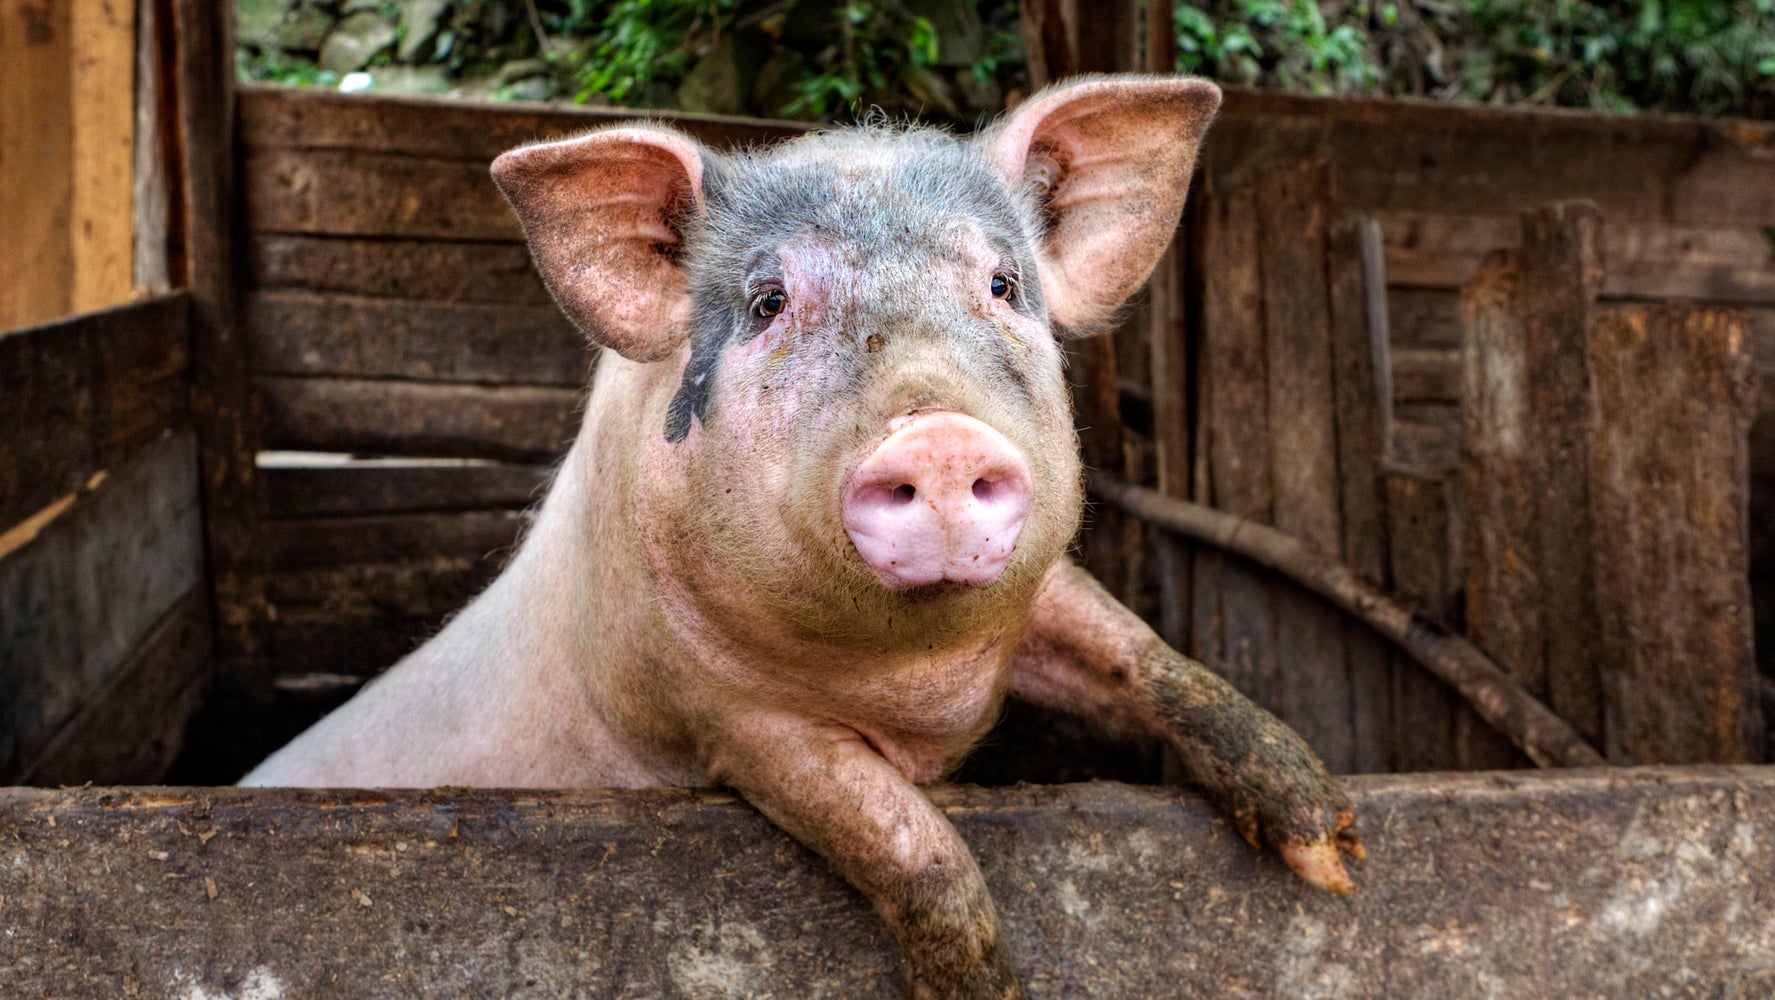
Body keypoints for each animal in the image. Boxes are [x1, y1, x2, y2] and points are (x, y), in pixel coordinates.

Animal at [245, 74, 1363, 997]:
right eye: (768, 301)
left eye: (1001, 286)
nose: (939, 435)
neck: (911, 677)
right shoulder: (721, 719)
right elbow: (903, 840)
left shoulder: (1043, 589)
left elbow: (1150, 661)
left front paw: (1334, 864)